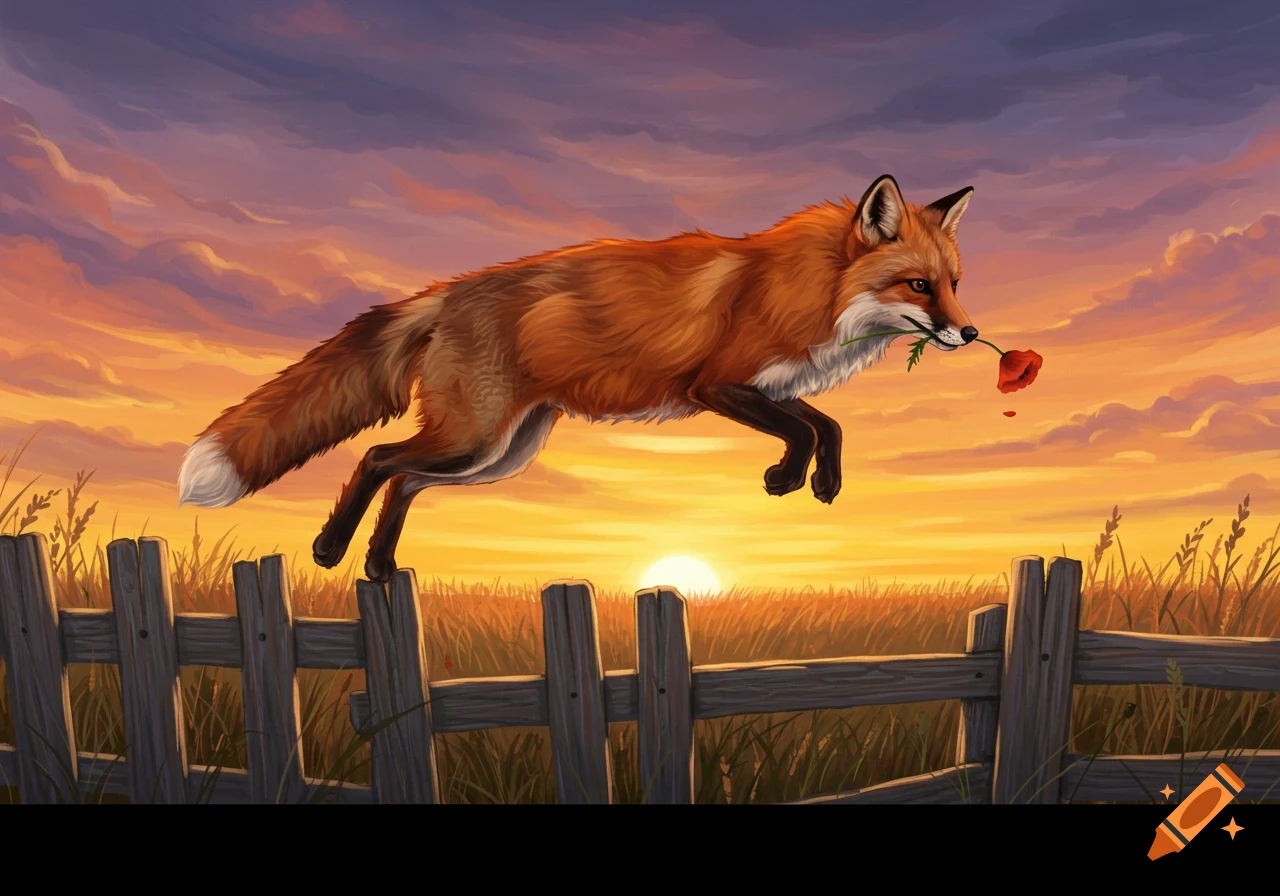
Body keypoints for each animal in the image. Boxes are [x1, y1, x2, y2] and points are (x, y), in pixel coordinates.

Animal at [177, 175, 978, 583]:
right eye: (918, 286)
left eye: (955, 284)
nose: (970, 334)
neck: (807, 285)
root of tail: (448, 289)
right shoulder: (716, 384)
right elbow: (803, 427)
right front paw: (788, 478)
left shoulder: (773, 386)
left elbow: (824, 423)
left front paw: (822, 483)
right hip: (474, 438)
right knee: (378, 457)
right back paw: (331, 550)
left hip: (499, 454)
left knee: (403, 477)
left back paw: (376, 564)